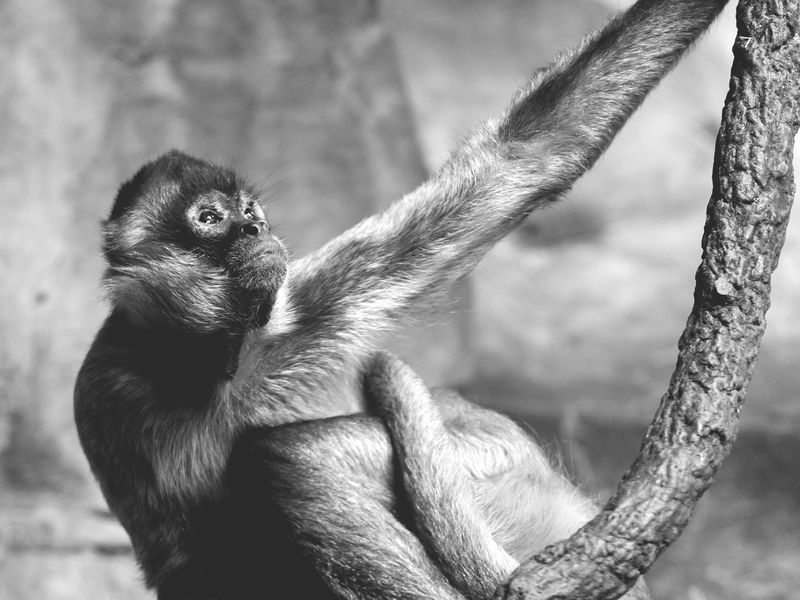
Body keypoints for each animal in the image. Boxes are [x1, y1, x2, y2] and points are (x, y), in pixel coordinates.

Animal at [74, 0, 728, 598]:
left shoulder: (294, 307)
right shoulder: (108, 389)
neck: (220, 365)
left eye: (249, 209)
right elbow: (182, 562)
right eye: (211, 218)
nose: (255, 228)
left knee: (287, 459)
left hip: (487, 462)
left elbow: (528, 155)